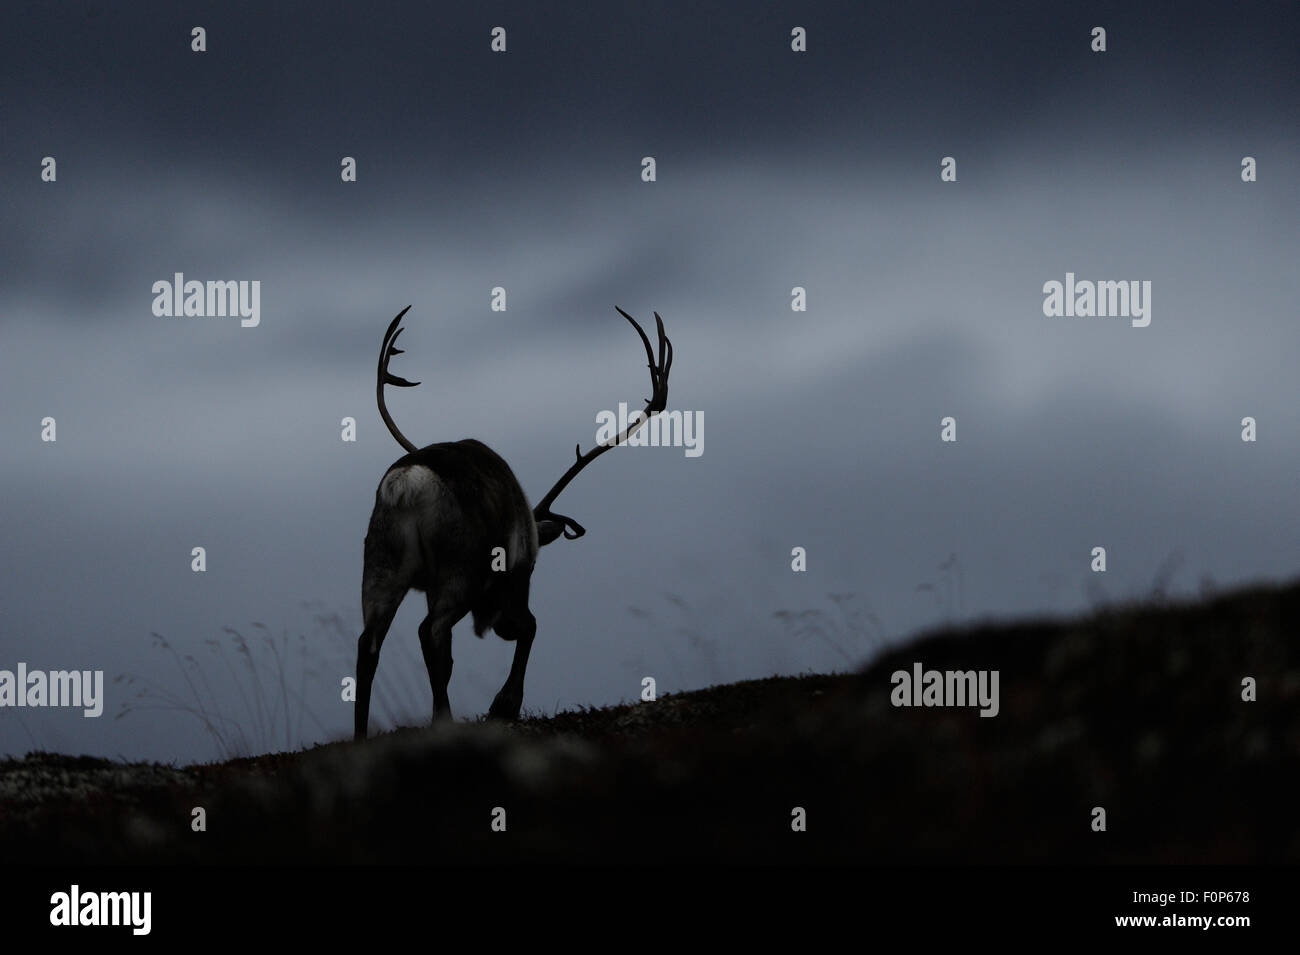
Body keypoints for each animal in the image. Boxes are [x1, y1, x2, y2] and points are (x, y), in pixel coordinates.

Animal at [353, 305, 672, 740]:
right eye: (534, 569)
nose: (501, 627)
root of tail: (409, 484)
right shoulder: (509, 573)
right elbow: (533, 624)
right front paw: (504, 705)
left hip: (381, 562)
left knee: (369, 644)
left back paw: (361, 737)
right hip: (460, 571)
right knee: (430, 632)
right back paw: (444, 720)